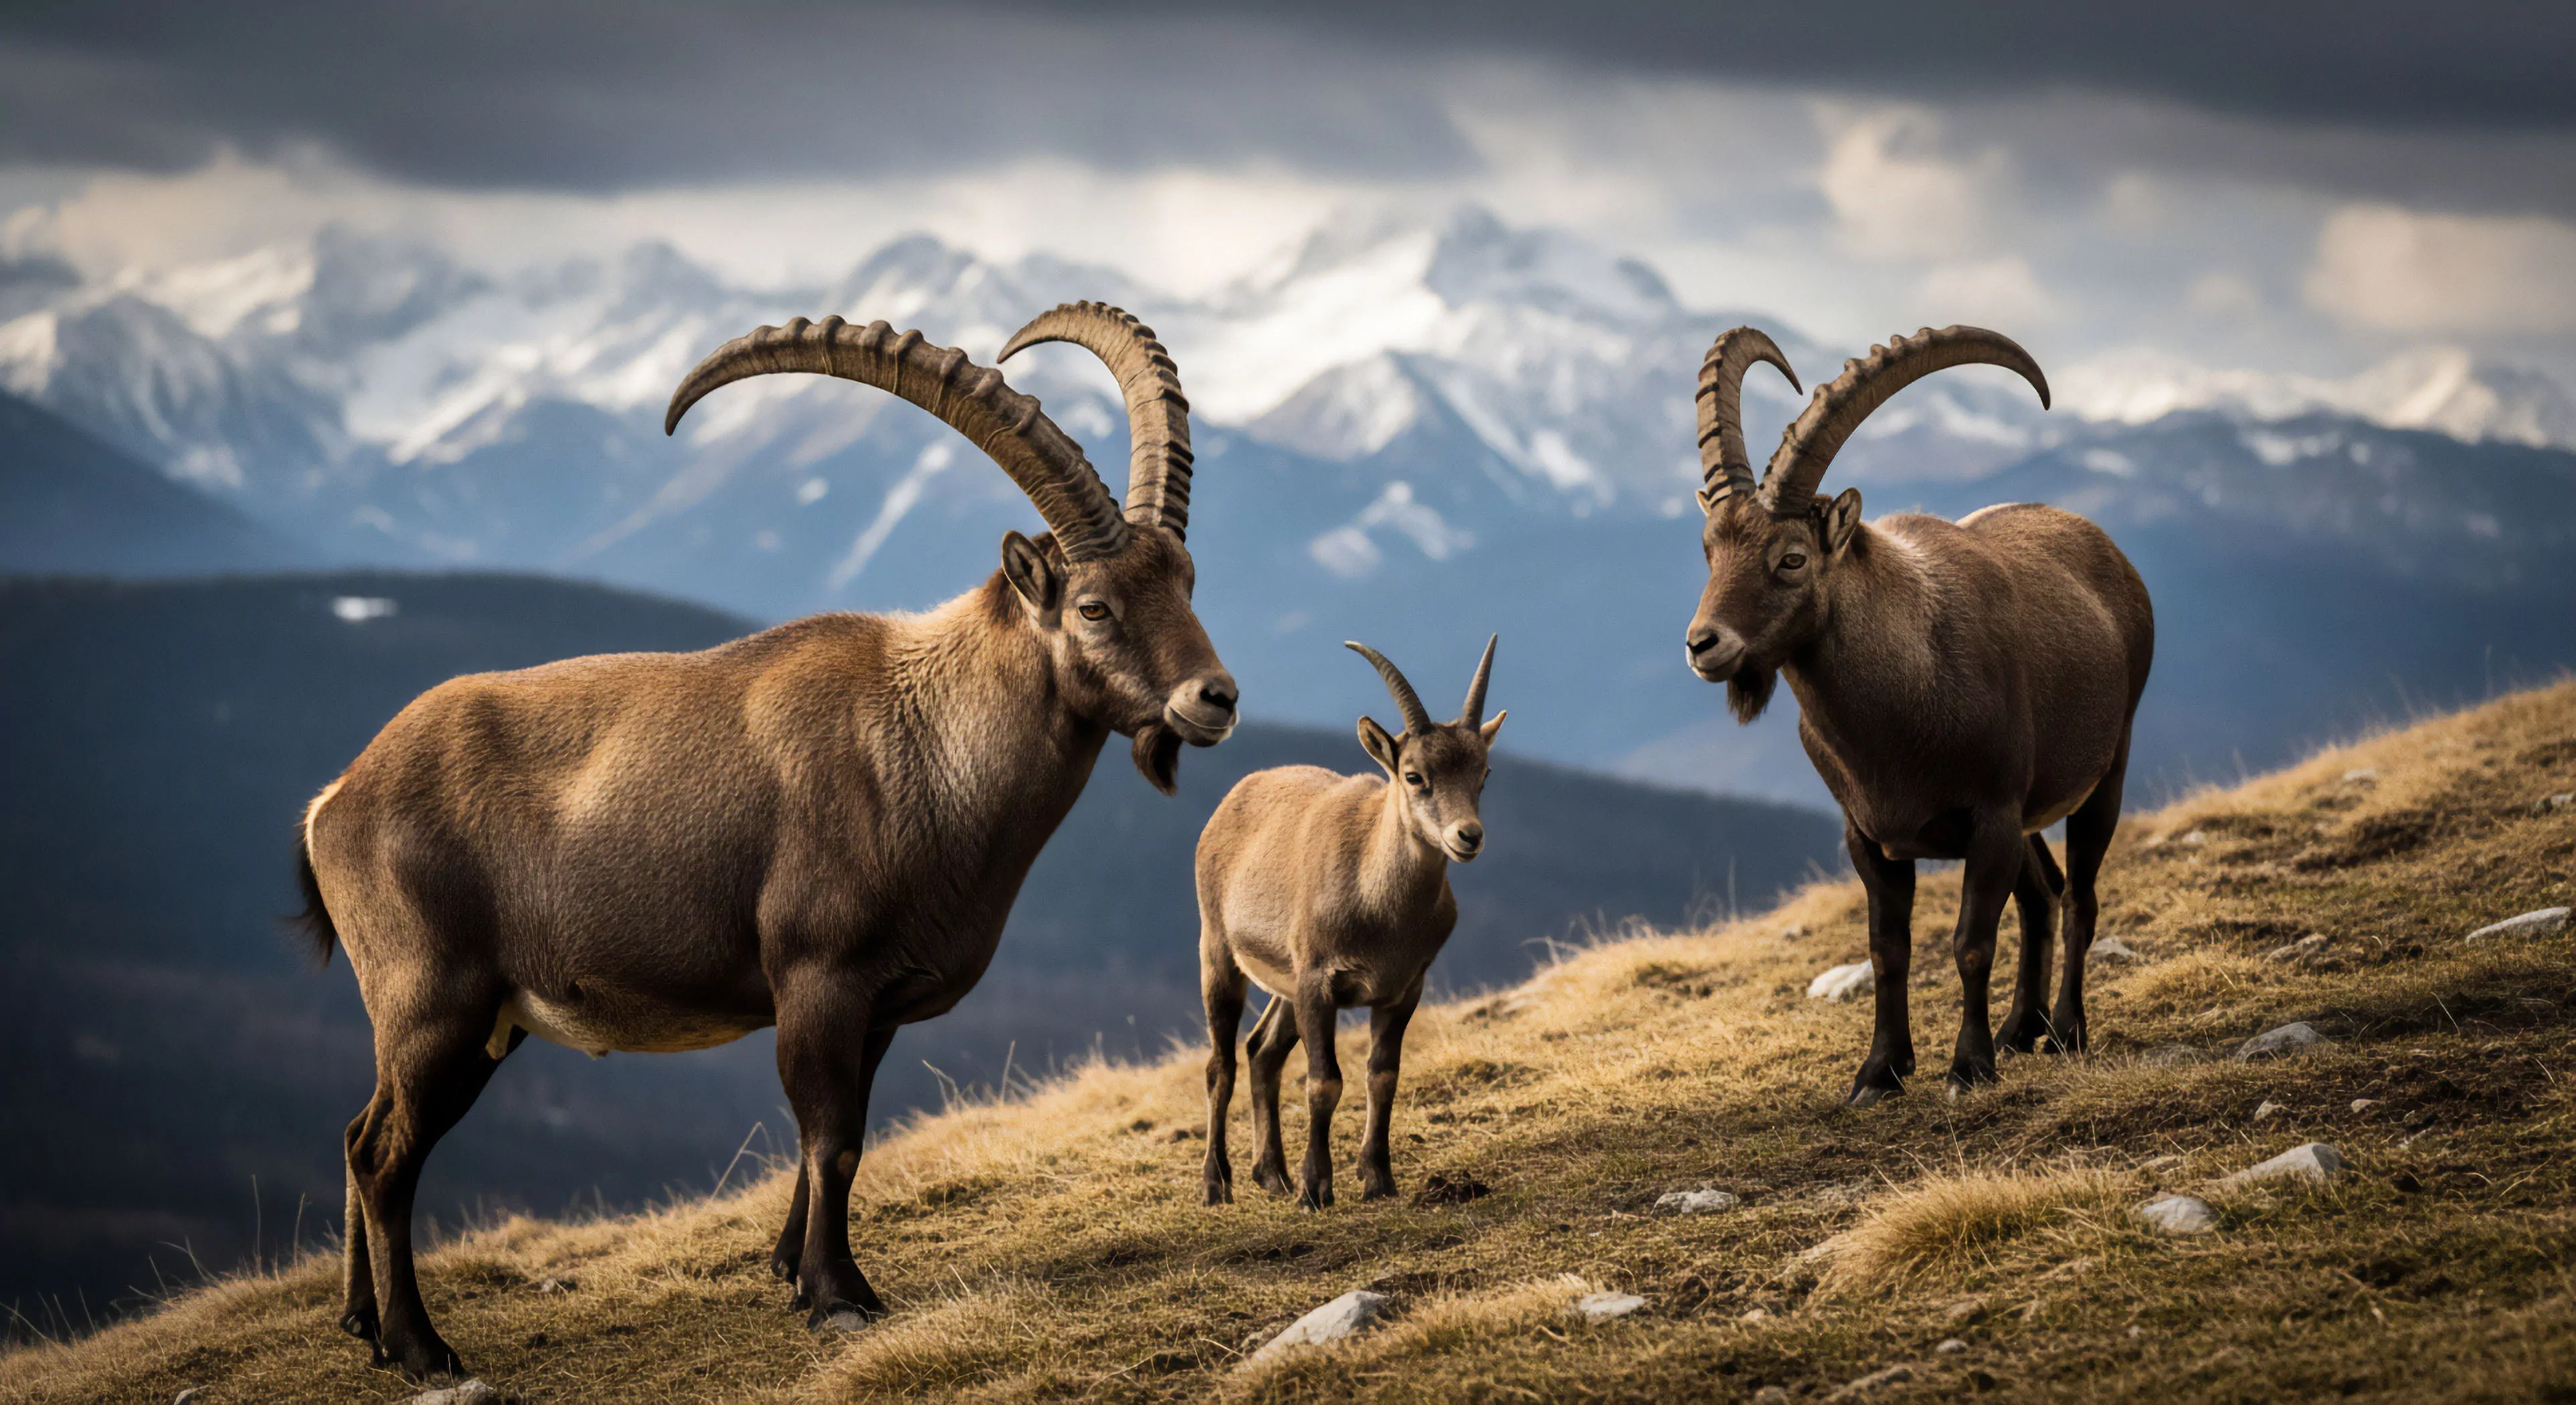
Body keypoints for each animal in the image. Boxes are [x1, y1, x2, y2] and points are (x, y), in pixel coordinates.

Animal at [297, 305, 1238, 1378]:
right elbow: (830, 1138)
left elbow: (841, 1137)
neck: (921, 745)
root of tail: (336, 801)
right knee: (384, 1153)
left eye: (1187, 580)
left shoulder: (873, 1006)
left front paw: (792, 1270)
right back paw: (421, 1348)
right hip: (434, 1005)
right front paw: (837, 1295)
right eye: (1093, 605)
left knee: (357, 1132)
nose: (1215, 698)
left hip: (468, 1022)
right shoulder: (817, 977)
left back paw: (363, 1323)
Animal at [1195, 637, 1504, 1209]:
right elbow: (1324, 1083)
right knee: (1220, 1064)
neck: (1380, 907)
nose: (1468, 836)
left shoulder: (1403, 989)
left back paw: (1271, 1175)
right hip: (1220, 953)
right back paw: (1215, 1184)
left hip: (1286, 983)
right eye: (1414, 775)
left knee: (1262, 1051)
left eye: (1484, 774)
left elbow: (1382, 1077)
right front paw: (1317, 1189)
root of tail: (1232, 801)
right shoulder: (1320, 981)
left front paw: (1378, 1179)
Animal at [1681, 326, 2153, 1104]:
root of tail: (2109, 550)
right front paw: (1879, 1073)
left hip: (2104, 771)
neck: (1899, 710)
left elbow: (1970, 944)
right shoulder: (1868, 838)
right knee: (2043, 895)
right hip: (2028, 816)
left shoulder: (1990, 818)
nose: (1702, 645)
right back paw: (2020, 1029)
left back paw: (2064, 1031)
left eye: (1791, 557)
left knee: (2078, 898)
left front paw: (1967, 1068)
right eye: (1709, 549)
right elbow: (1888, 950)